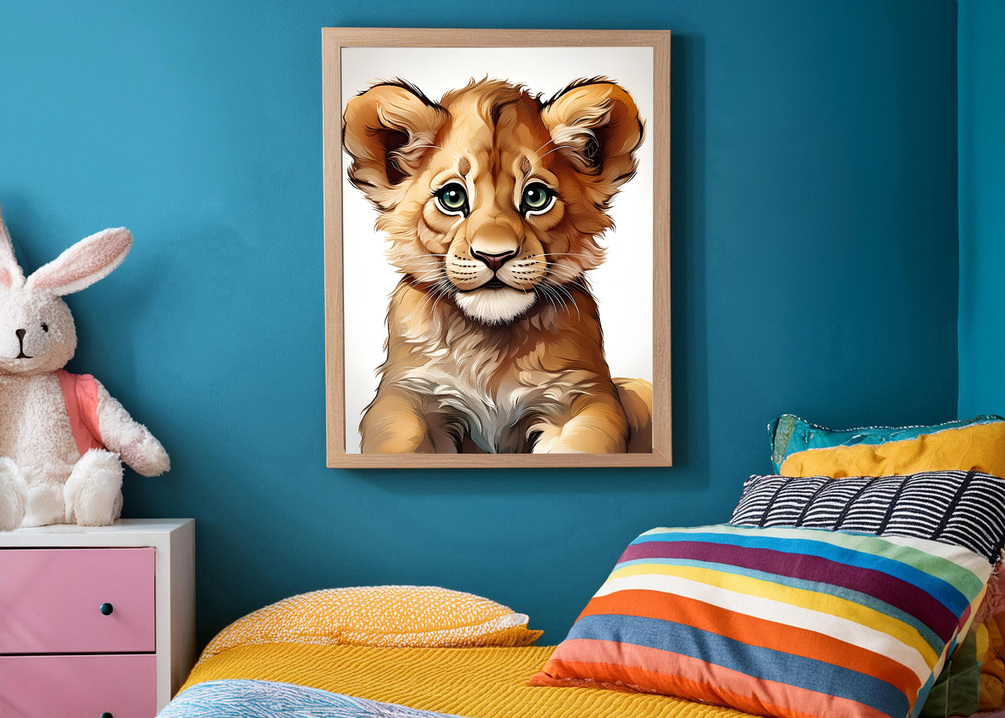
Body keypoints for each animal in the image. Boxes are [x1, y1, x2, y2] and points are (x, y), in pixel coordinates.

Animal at [342, 77, 653, 454]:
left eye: (536, 197)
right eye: (452, 197)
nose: (494, 255)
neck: (488, 347)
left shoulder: (583, 399)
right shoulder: (404, 395)